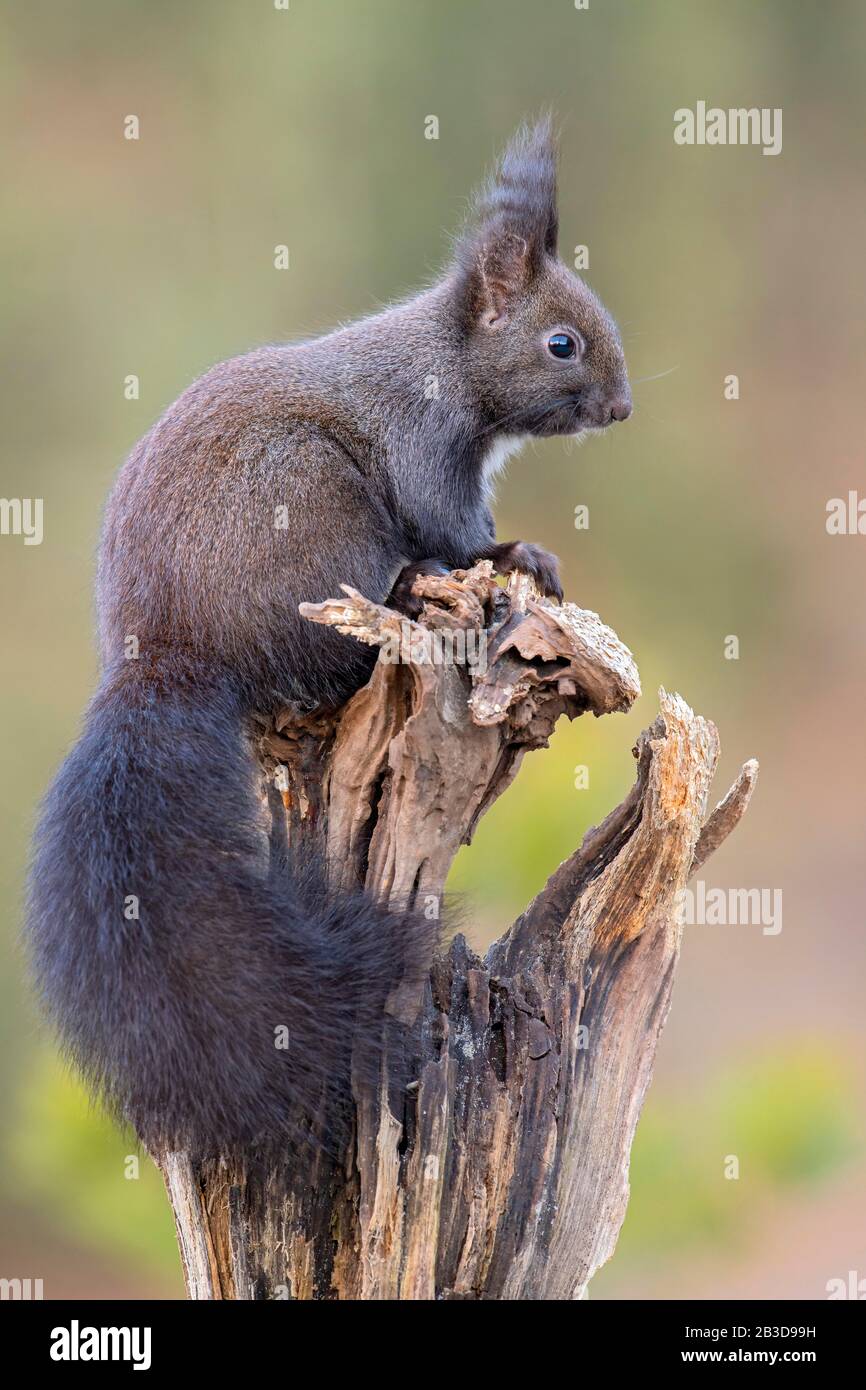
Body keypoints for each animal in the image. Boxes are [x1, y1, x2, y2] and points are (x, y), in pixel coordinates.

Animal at [27, 118, 631, 1160]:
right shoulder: (426, 446)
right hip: (309, 516)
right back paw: (401, 593)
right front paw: (521, 556)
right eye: (562, 343)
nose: (622, 406)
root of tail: (165, 652)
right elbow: (455, 530)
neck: (448, 360)